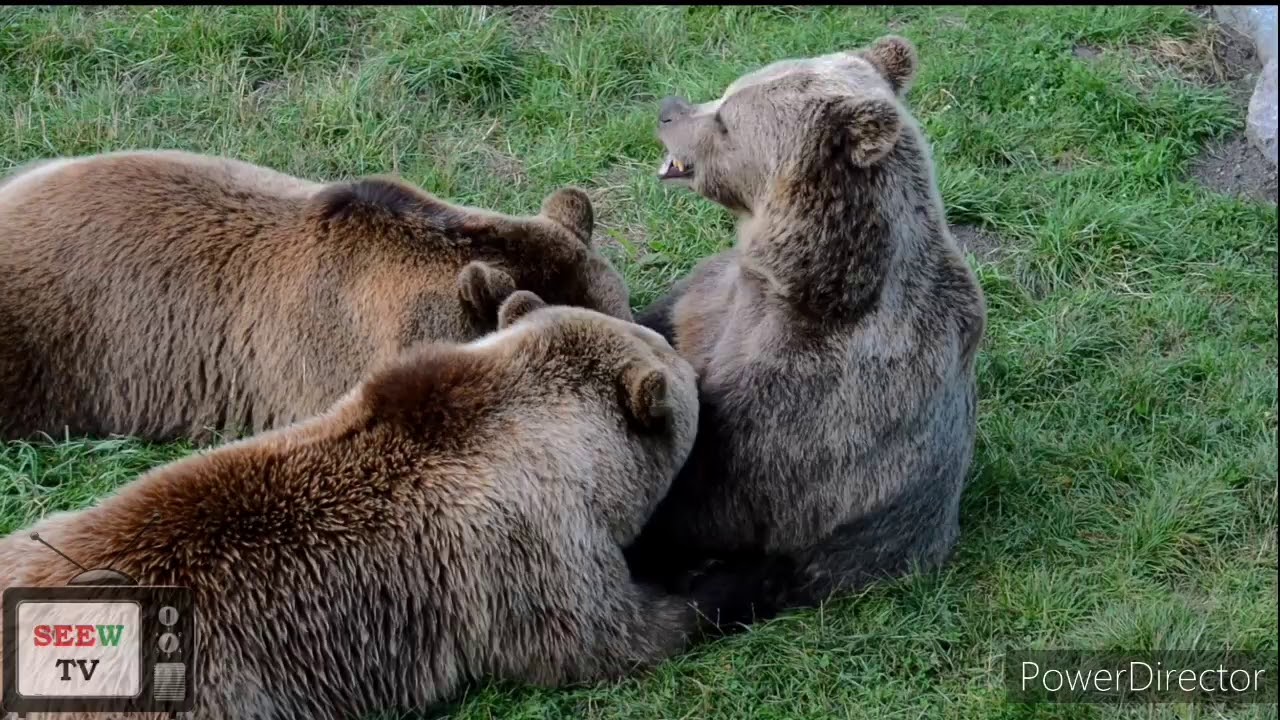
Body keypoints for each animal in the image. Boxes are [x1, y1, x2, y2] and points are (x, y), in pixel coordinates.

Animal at [622, 35, 989, 622]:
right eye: (726, 92)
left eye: (725, 119)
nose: (668, 110)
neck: (800, 282)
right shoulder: (715, 299)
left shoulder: (810, 393)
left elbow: (713, 490)